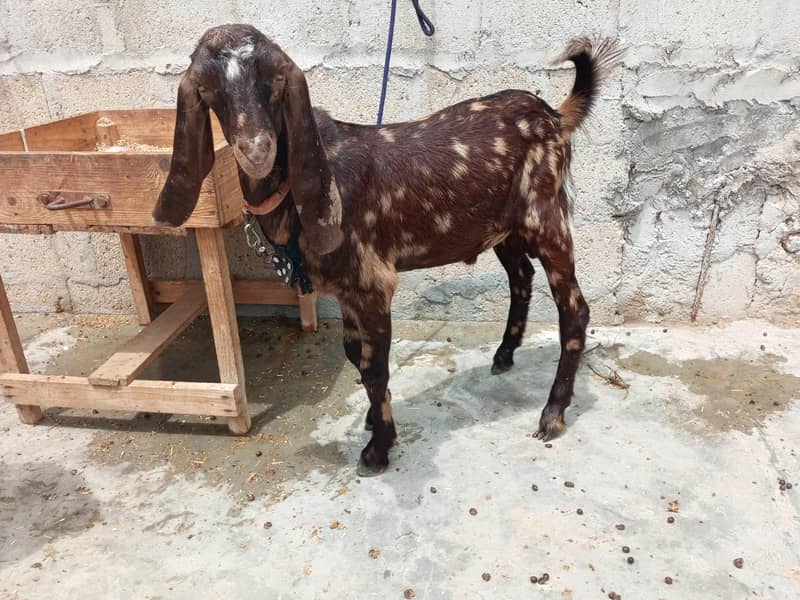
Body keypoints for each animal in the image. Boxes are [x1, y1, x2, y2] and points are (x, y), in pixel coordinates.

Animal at [153, 24, 623, 476]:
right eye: (207, 88)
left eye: (276, 80)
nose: (256, 150)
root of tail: (554, 115)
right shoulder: (346, 290)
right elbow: (354, 356)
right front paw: (374, 421)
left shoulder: (371, 282)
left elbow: (374, 366)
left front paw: (378, 449)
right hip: (502, 228)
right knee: (521, 276)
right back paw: (504, 355)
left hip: (547, 219)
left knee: (574, 309)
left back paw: (552, 413)